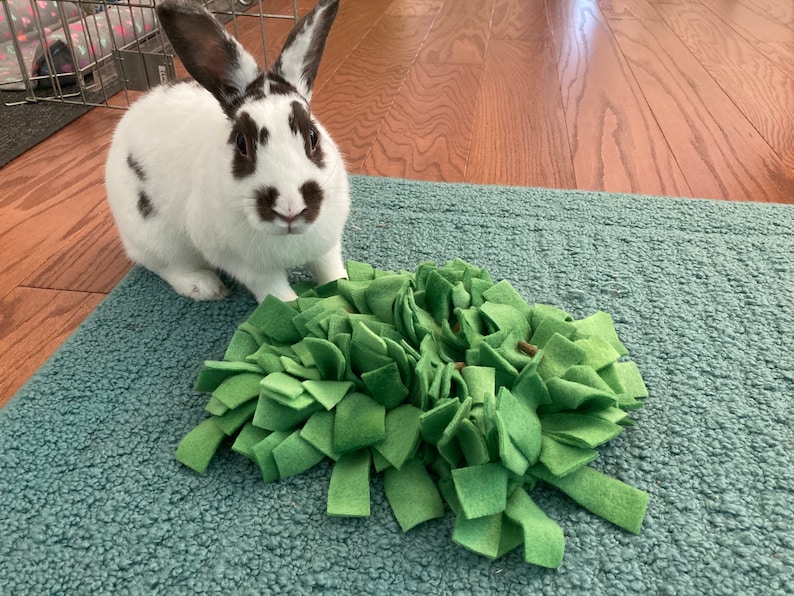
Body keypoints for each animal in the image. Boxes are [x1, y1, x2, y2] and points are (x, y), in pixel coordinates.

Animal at [104, 0, 349, 302]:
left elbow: (331, 271)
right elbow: (275, 292)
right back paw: (205, 287)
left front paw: (345, 293)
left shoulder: (327, 246)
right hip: (157, 239)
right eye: (242, 143)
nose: (289, 209)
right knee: (167, 267)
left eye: (313, 136)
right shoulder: (245, 265)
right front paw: (293, 309)